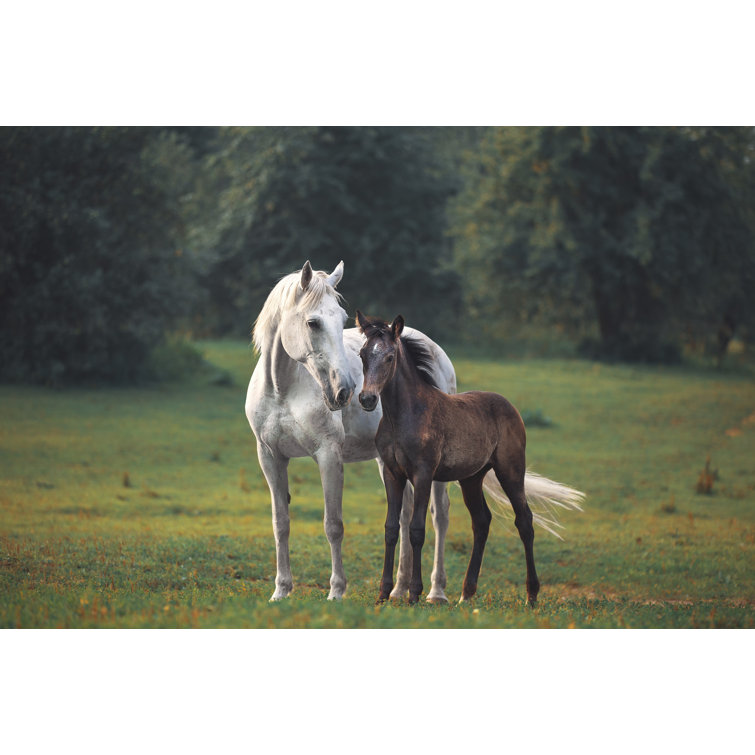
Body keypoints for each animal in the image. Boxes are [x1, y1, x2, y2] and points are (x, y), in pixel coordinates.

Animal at [245, 261, 458, 602]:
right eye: (313, 322)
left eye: (342, 319)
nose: (344, 390)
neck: (282, 390)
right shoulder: (270, 457)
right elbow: (281, 523)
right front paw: (281, 590)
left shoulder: (328, 455)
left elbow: (333, 525)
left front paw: (336, 591)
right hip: (389, 461)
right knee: (404, 513)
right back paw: (398, 590)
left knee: (440, 516)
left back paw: (436, 592)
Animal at [356, 310, 584, 605]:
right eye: (362, 354)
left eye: (390, 357)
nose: (367, 399)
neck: (403, 415)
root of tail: (510, 406)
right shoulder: (392, 473)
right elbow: (391, 529)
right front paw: (384, 594)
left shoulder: (423, 473)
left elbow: (417, 529)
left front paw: (415, 593)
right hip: (471, 478)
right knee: (482, 521)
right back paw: (466, 594)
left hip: (511, 470)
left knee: (524, 520)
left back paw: (531, 595)